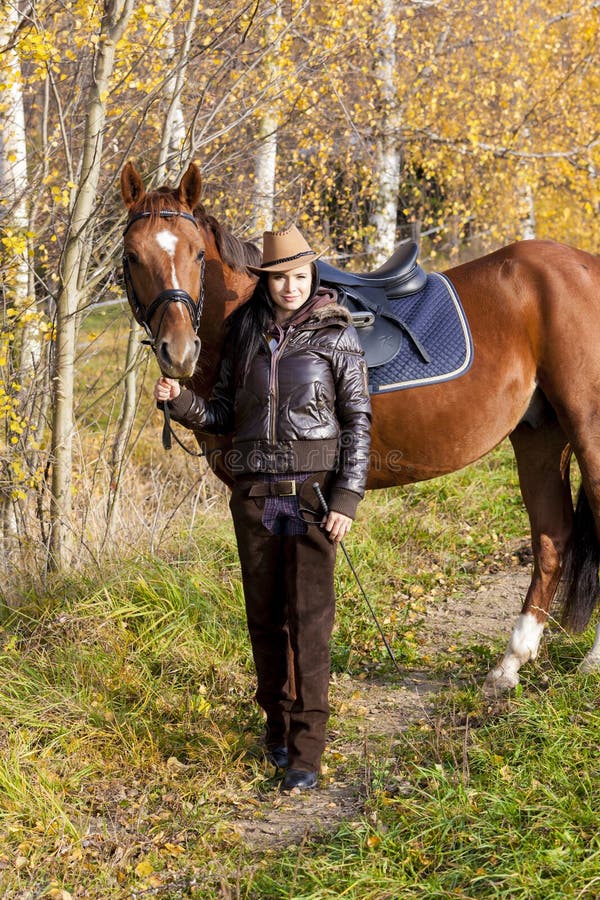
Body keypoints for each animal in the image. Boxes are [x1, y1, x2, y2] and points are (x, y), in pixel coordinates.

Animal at [119, 160, 600, 693]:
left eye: (198, 253)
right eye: (132, 255)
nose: (178, 351)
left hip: (588, 429)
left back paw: (588, 662)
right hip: (540, 435)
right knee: (552, 538)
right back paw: (509, 665)